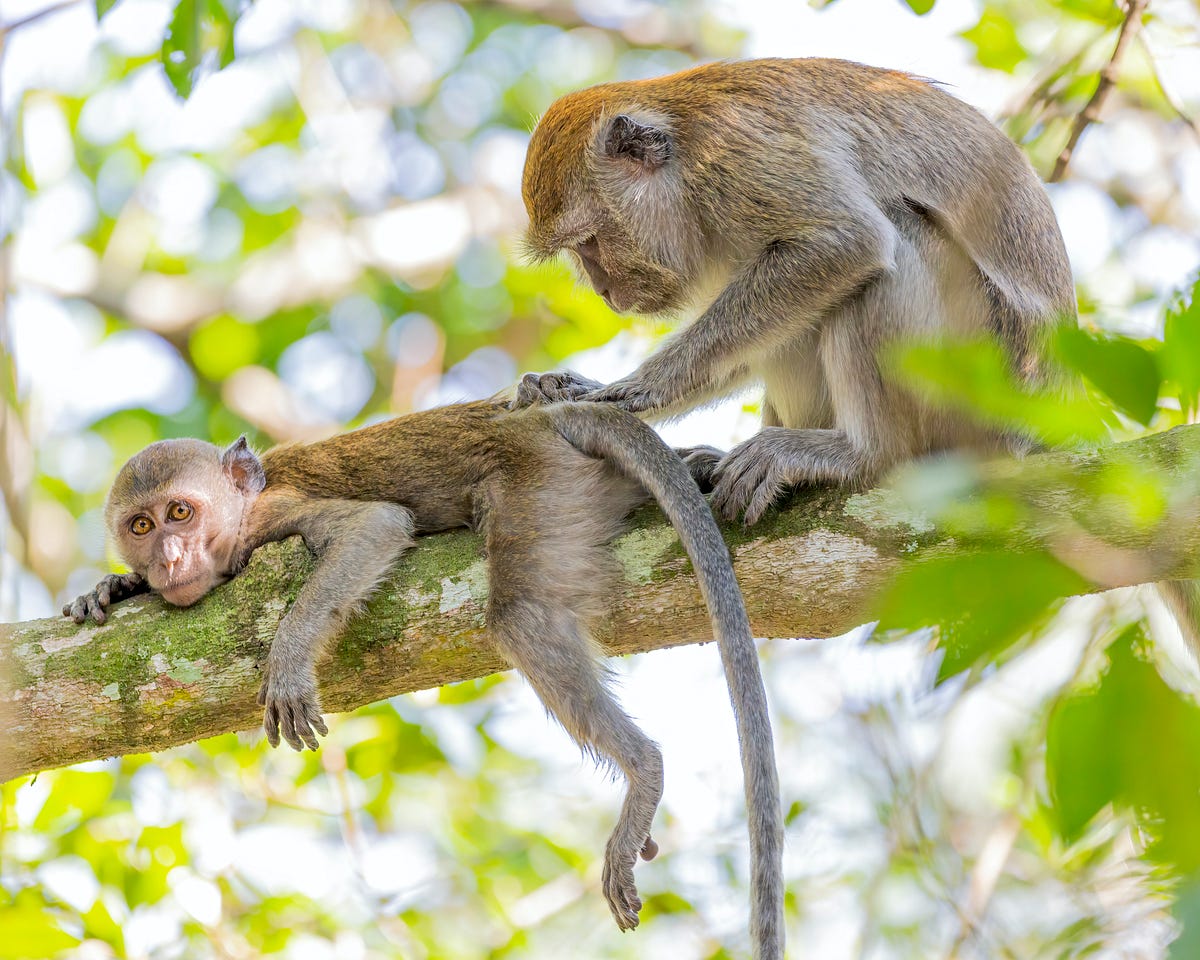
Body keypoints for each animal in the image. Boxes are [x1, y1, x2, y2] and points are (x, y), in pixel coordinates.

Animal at [64, 399, 785, 960]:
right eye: (141, 525)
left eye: (180, 514)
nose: (168, 558)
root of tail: (536, 417)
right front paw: (112, 587)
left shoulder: (271, 519)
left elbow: (373, 526)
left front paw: (289, 656)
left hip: (540, 477)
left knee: (523, 614)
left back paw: (642, 768)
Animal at [511, 57, 1077, 523]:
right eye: (578, 252)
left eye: (591, 241)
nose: (604, 289)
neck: (686, 159)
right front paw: (576, 389)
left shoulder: (737, 155)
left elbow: (846, 241)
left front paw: (642, 387)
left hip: (982, 378)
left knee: (894, 237)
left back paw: (865, 453)